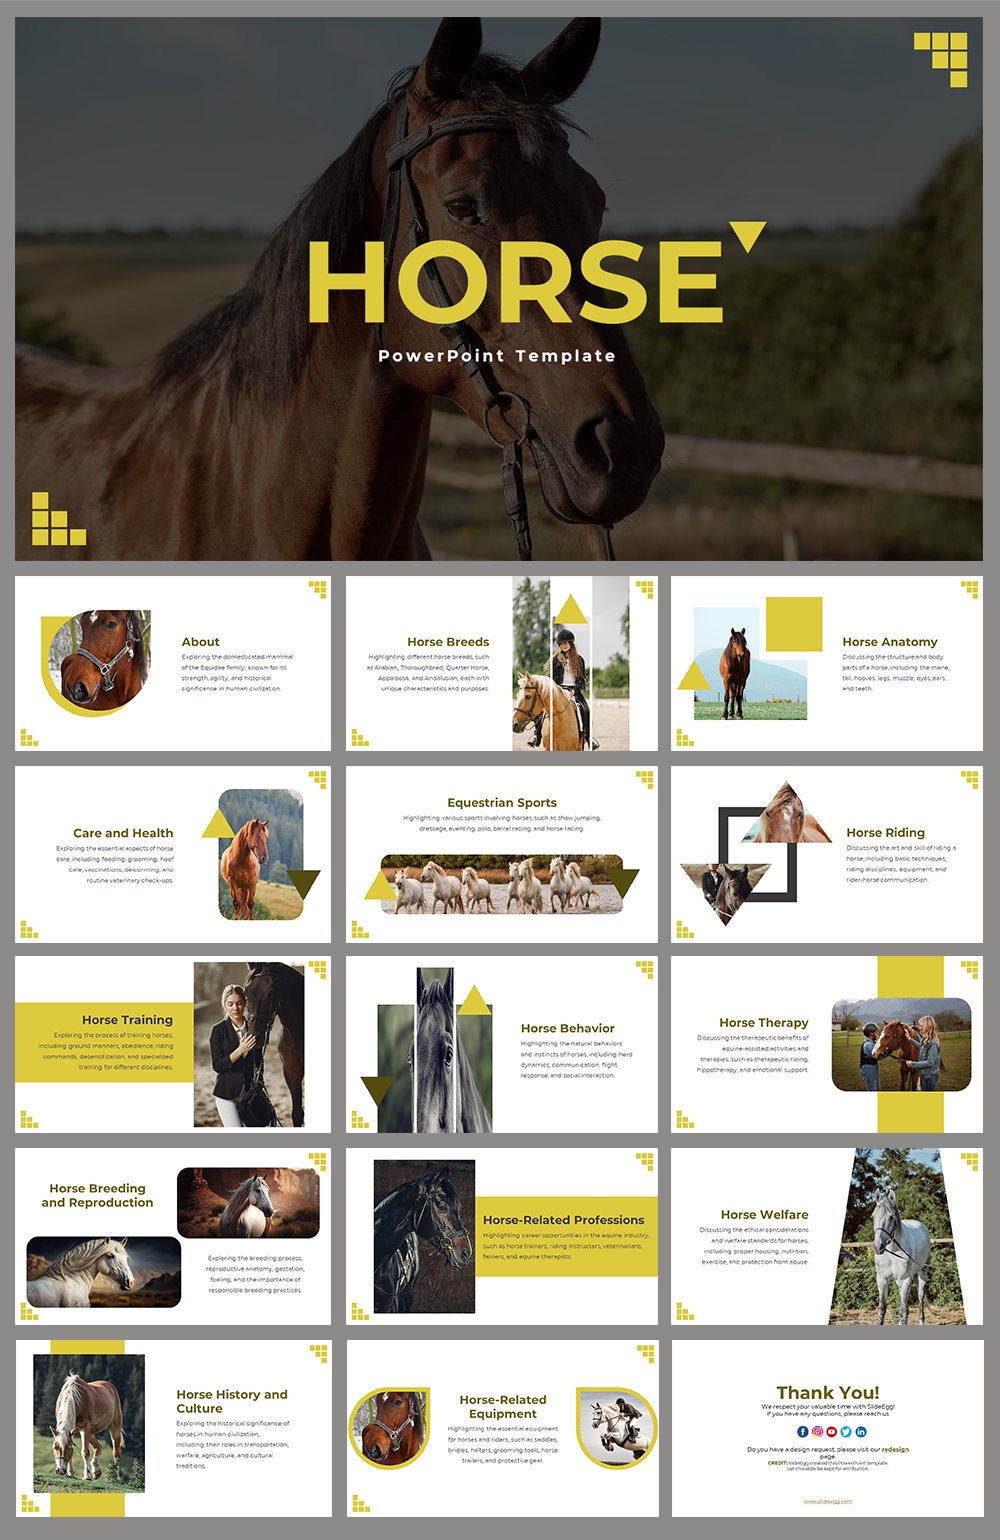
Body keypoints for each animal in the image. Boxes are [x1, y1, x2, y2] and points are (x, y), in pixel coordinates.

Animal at [871, 1187, 931, 1325]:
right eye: (873, 1217)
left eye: (891, 1217)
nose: (878, 1246)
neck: (892, 1253)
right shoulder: (882, 1279)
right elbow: (881, 1309)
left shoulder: (905, 1280)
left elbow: (904, 1311)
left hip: (922, 1272)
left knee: (920, 1297)